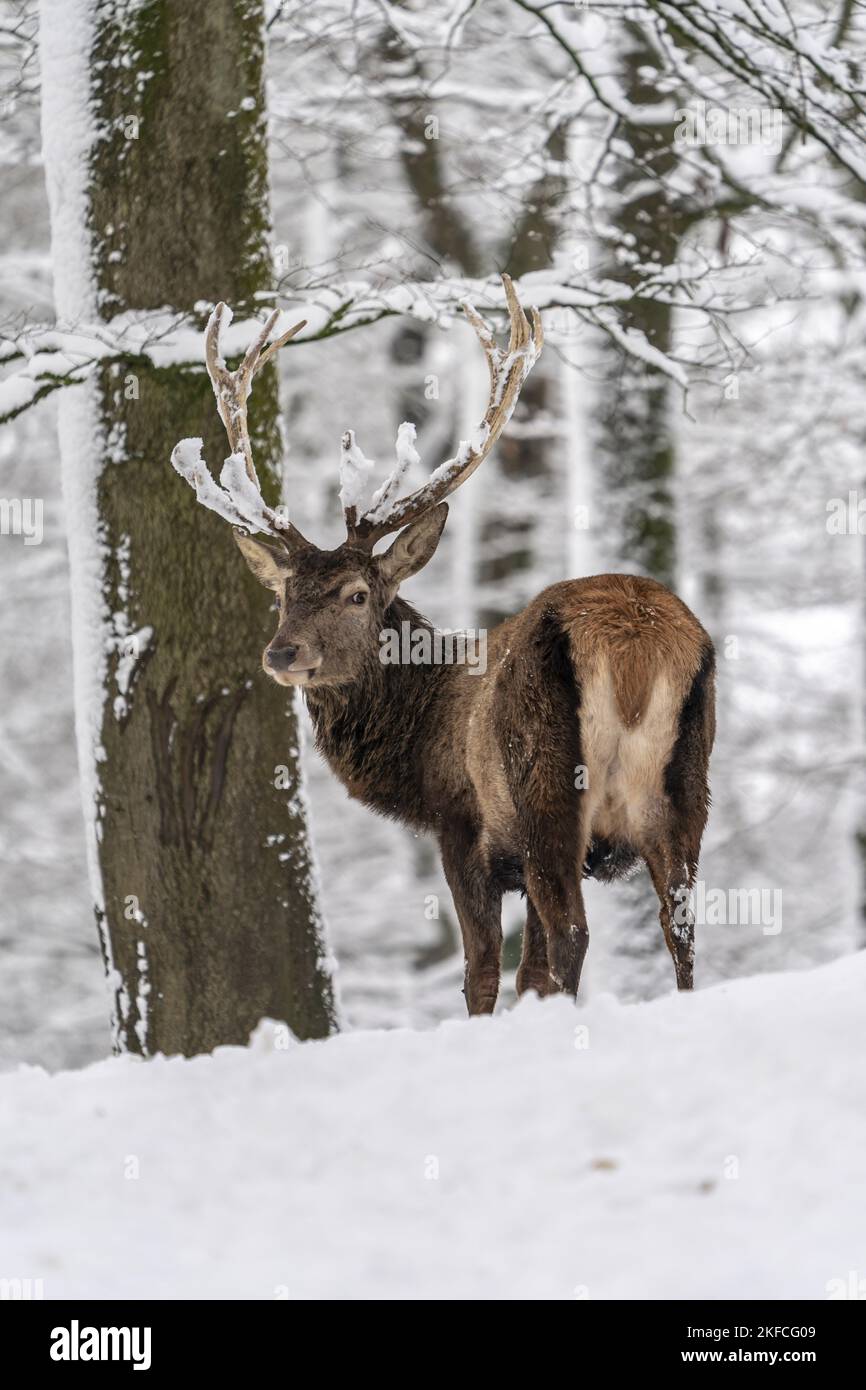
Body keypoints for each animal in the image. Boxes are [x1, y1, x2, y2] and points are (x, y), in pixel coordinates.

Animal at [172, 275, 715, 1015]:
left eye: (357, 595)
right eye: (282, 593)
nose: (282, 654)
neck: (421, 741)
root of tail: (635, 642)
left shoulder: (465, 828)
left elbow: (483, 970)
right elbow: (527, 970)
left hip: (544, 781)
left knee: (575, 932)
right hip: (687, 785)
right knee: (681, 925)